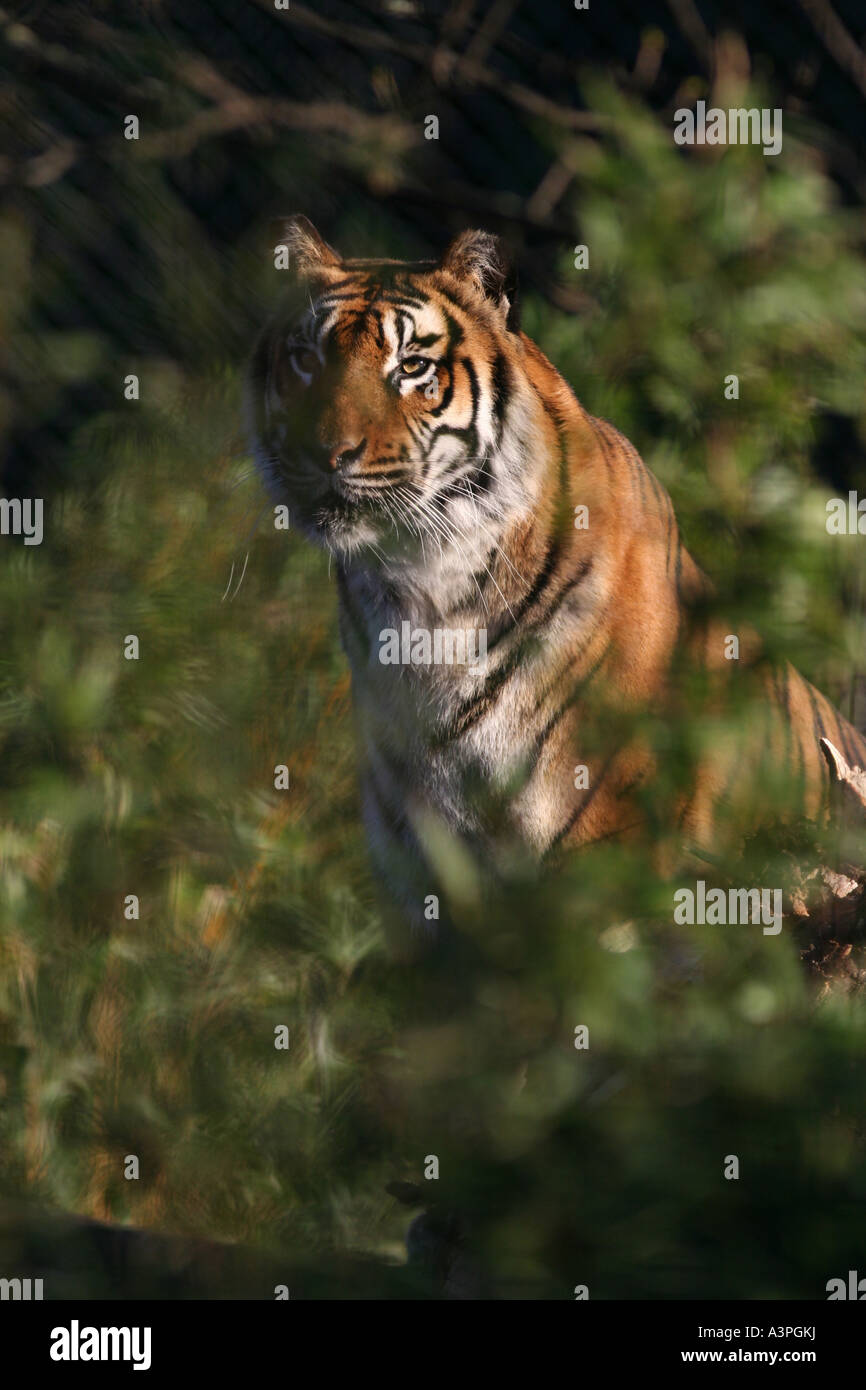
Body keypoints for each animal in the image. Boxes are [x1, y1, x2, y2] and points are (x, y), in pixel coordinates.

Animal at [246, 215, 866, 942]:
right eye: (306, 360)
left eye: (412, 366)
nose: (323, 453)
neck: (418, 590)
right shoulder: (419, 876)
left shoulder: (605, 849)